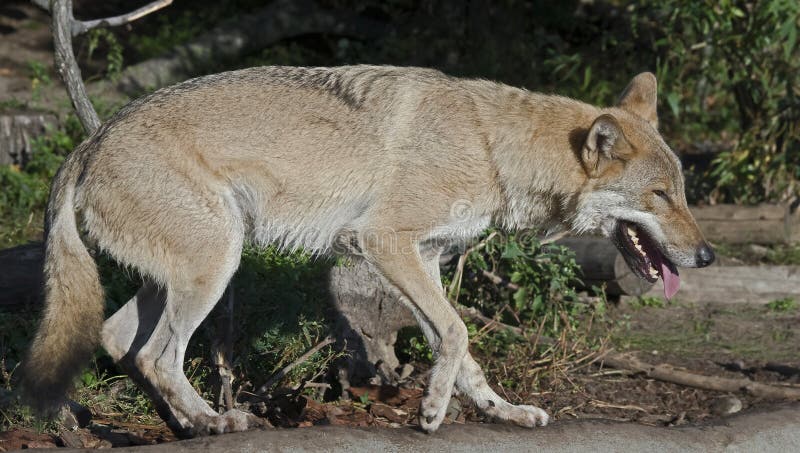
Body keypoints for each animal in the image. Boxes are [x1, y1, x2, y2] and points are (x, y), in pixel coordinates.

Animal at [20, 65, 714, 436]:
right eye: (660, 196)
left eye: (681, 192)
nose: (707, 257)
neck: (491, 145)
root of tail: (88, 143)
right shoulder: (384, 244)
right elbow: (459, 332)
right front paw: (431, 413)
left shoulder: (426, 258)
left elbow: (461, 350)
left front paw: (500, 411)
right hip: (216, 265)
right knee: (158, 356)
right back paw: (218, 421)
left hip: (185, 274)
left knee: (120, 340)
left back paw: (185, 426)